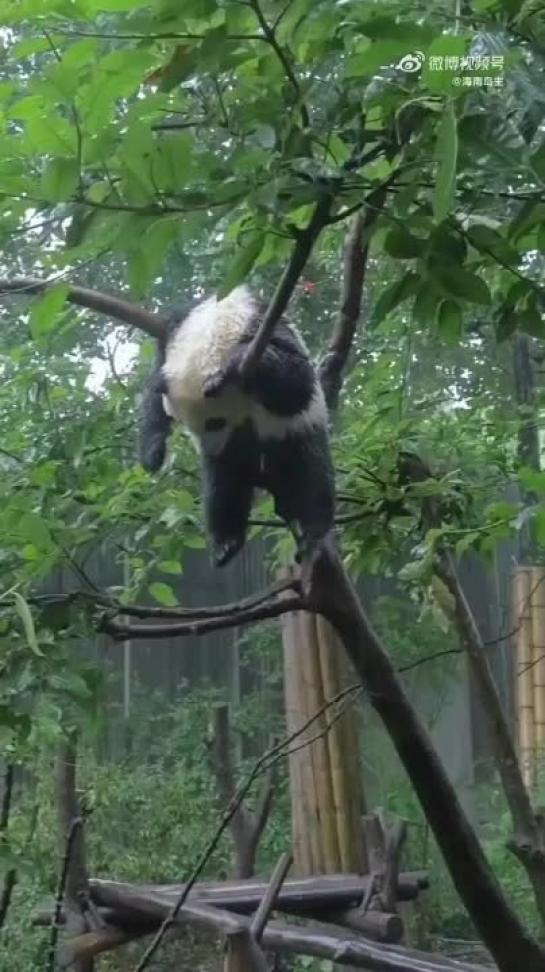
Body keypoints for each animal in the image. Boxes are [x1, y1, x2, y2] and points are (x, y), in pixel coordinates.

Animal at [138, 284, 334, 564]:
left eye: (215, 422)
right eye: (187, 425)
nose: (210, 449)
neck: (216, 325)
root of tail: (261, 475)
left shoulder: (266, 325)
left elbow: (296, 381)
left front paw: (235, 364)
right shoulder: (174, 331)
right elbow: (153, 395)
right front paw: (153, 454)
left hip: (297, 434)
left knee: (312, 474)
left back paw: (312, 529)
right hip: (231, 464)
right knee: (221, 492)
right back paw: (225, 544)